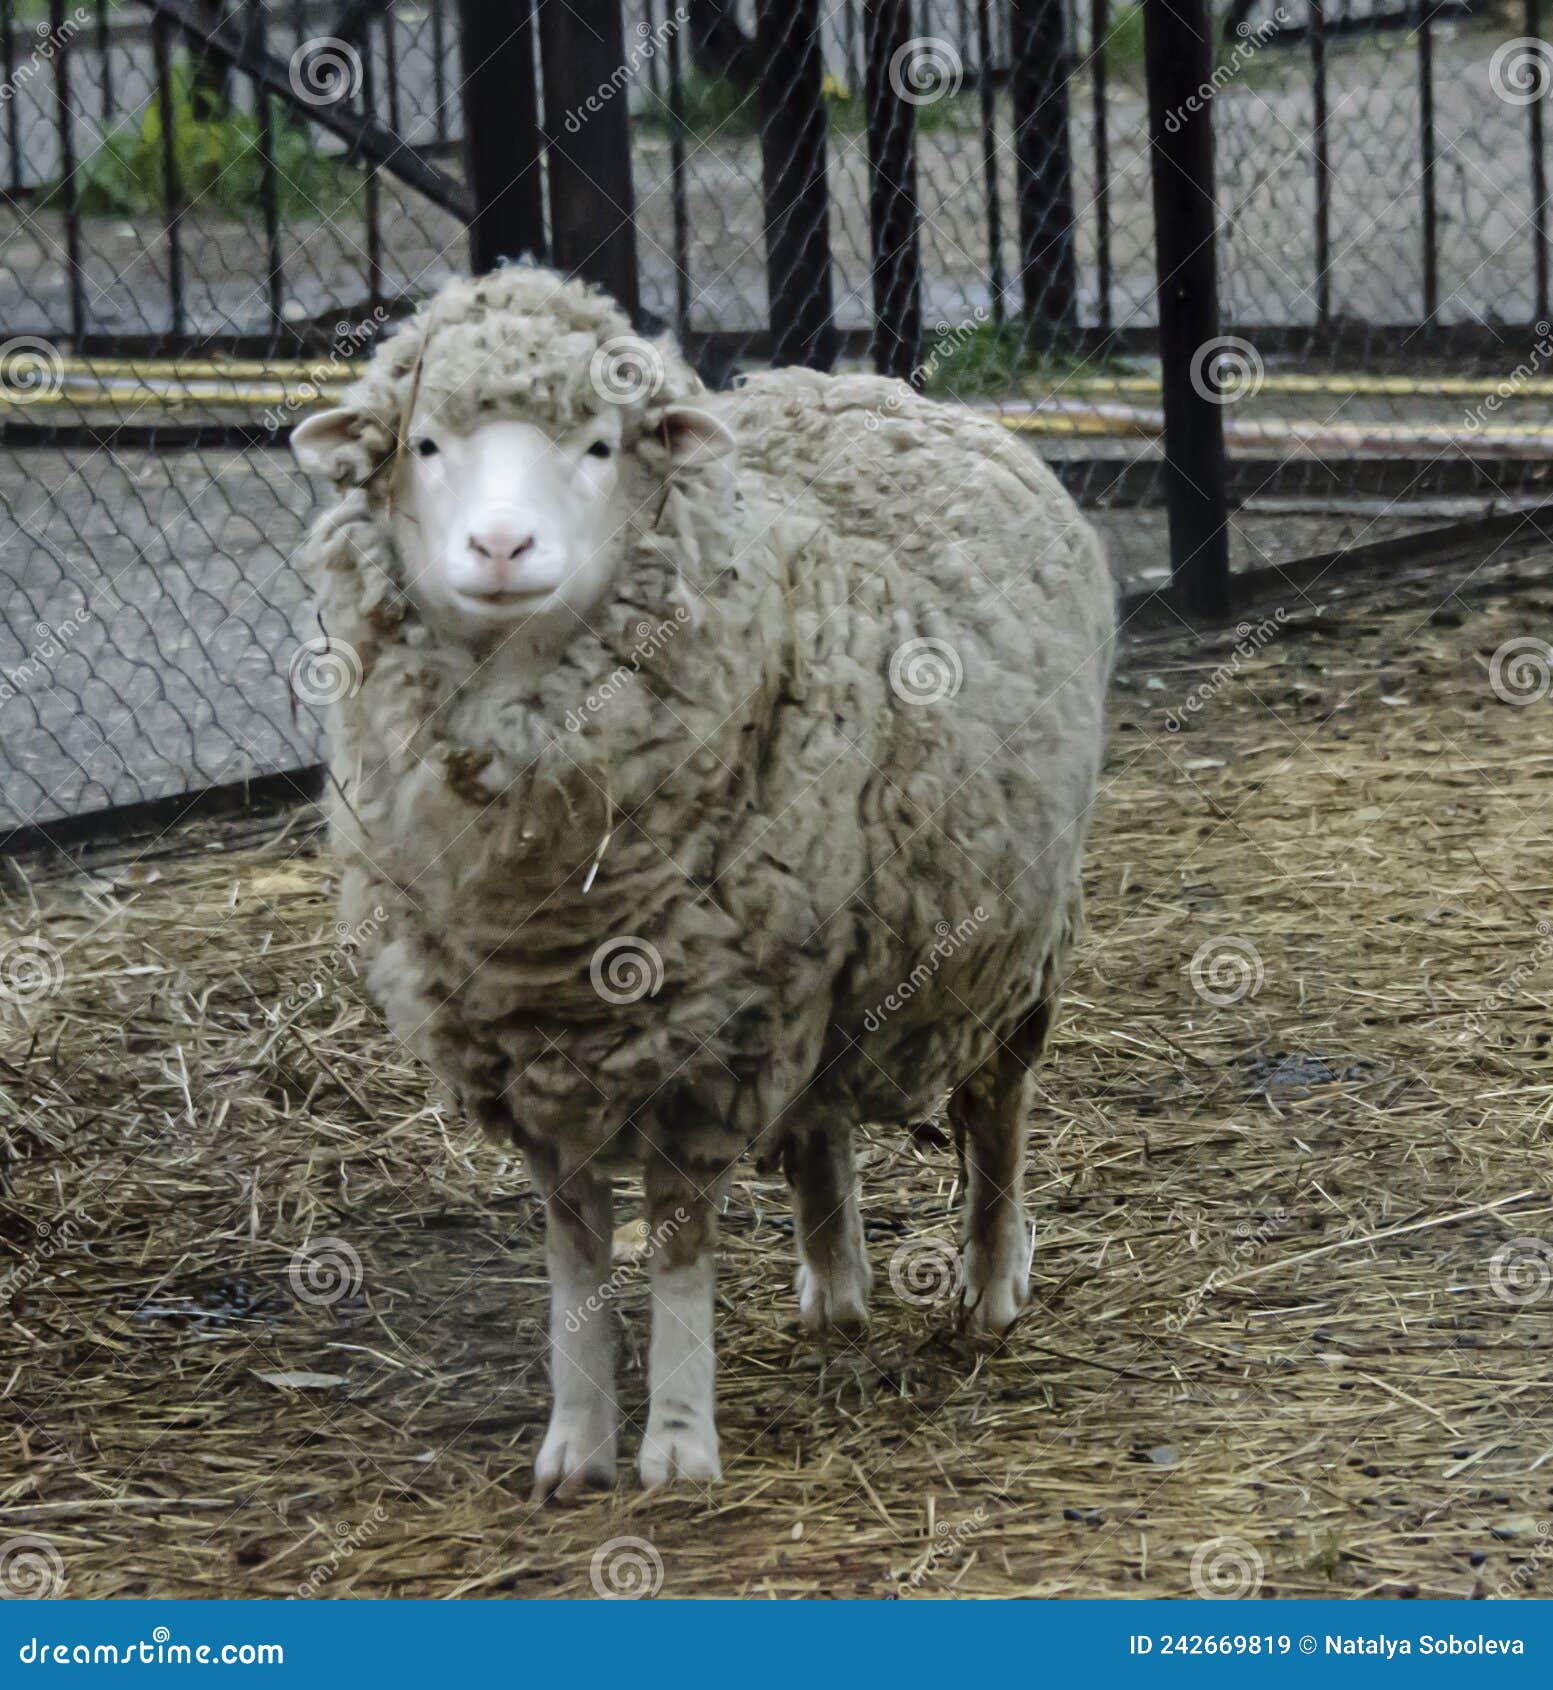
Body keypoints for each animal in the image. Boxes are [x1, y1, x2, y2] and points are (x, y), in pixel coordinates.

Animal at [290, 264, 1115, 1498]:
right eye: (425, 444)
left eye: (597, 446)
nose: (500, 545)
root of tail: (874, 386)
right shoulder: (546, 1053)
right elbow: (576, 1251)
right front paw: (575, 1445)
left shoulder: (704, 1047)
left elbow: (678, 1241)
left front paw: (676, 1445)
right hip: (820, 957)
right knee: (822, 1120)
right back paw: (834, 1285)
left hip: (1012, 936)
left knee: (996, 1112)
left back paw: (985, 1286)